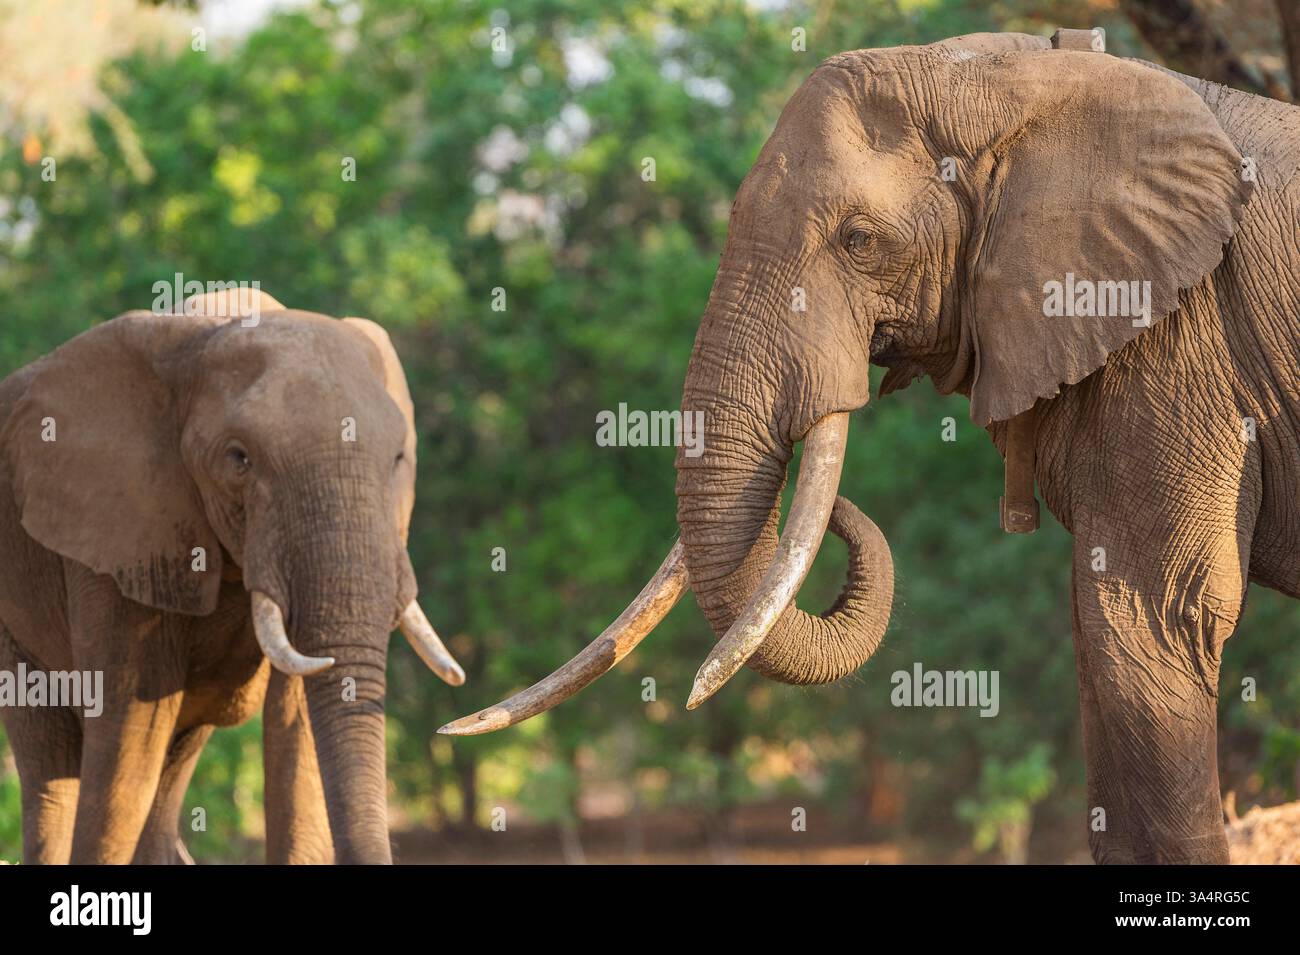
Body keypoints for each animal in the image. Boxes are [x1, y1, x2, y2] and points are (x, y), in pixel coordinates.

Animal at [0, 288, 465, 864]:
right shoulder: (113, 533)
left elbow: (297, 727)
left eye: (399, 458)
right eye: (238, 459)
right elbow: (129, 734)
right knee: (54, 760)